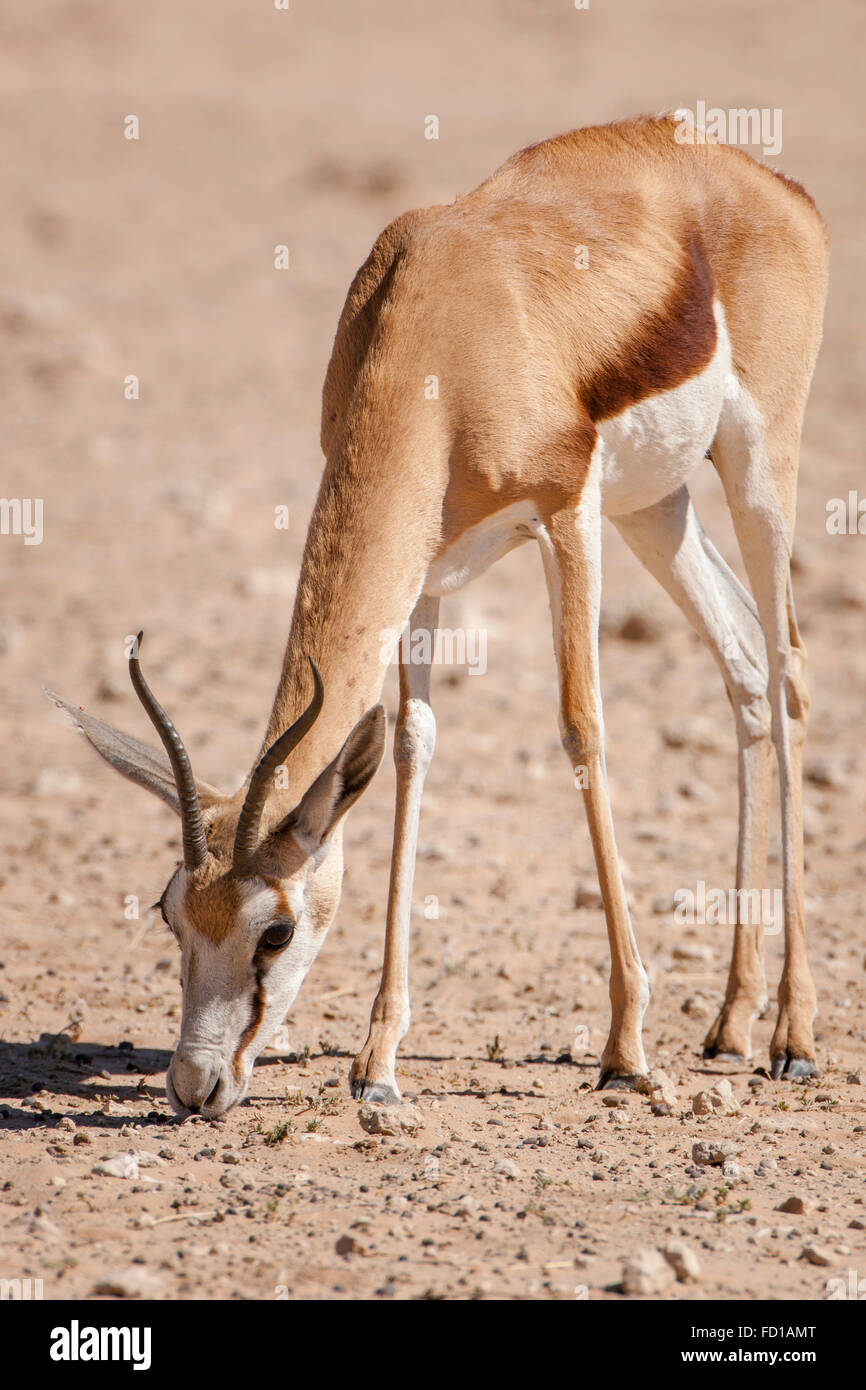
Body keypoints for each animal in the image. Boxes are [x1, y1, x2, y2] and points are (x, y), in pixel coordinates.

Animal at [47, 117, 828, 1116]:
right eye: (170, 910)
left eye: (275, 930)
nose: (195, 1083)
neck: (442, 334)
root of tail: (770, 183)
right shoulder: (427, 572)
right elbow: (413, 748)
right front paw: (376, 1063)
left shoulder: (566, 516)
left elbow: (581, 726)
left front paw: (623, 1048)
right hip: (657, 506)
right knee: (744, 662)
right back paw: (730, 1026)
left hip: (756, 471)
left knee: (791, 665)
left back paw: (792, 1036)